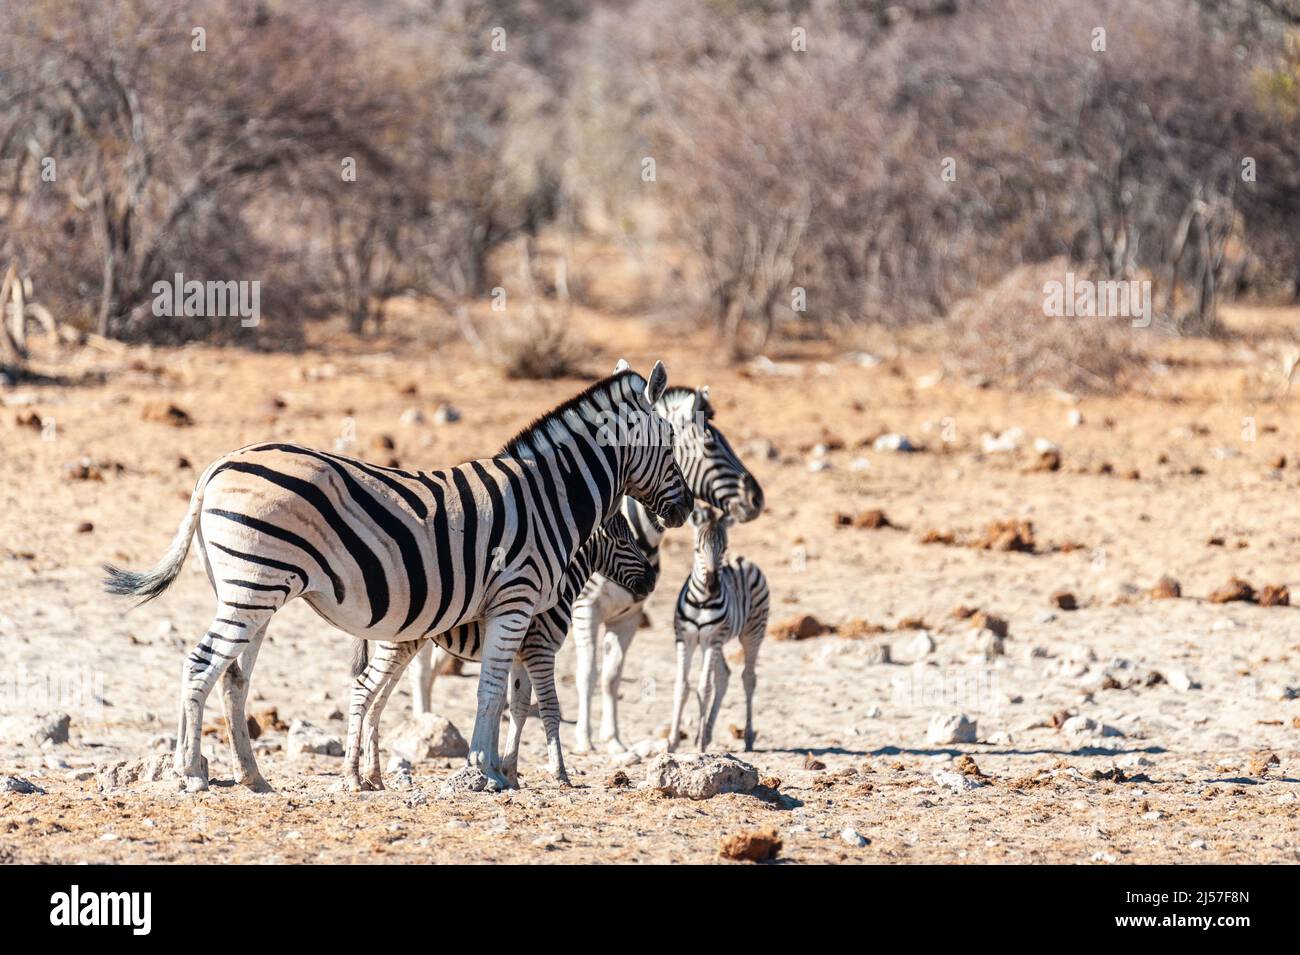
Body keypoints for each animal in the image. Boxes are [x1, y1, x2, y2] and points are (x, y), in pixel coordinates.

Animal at [349, 511, 655, 789]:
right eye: (624, 541)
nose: (652, 580)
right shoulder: (540, 650)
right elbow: (549, 707)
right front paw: (560, 774)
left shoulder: (519, 656)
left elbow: (516, 708)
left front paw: (507, 772)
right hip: (399, 644)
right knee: (363, 687)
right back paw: (355, 778)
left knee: (377, 700)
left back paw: (374, 777)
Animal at [669, 505, 768, 753]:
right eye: (697, 550)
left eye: (723, 549)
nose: (713, 586)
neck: (702, 601)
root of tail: (742, 558)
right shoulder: (685, 638)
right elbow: (682, 687)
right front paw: (672, 743)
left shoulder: (711, 639)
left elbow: (704, 689)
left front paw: (698, 749)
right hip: (718, 641)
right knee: (724, 676)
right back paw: (705, 735)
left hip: (752, 632)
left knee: (748, 678)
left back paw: (748, 737)